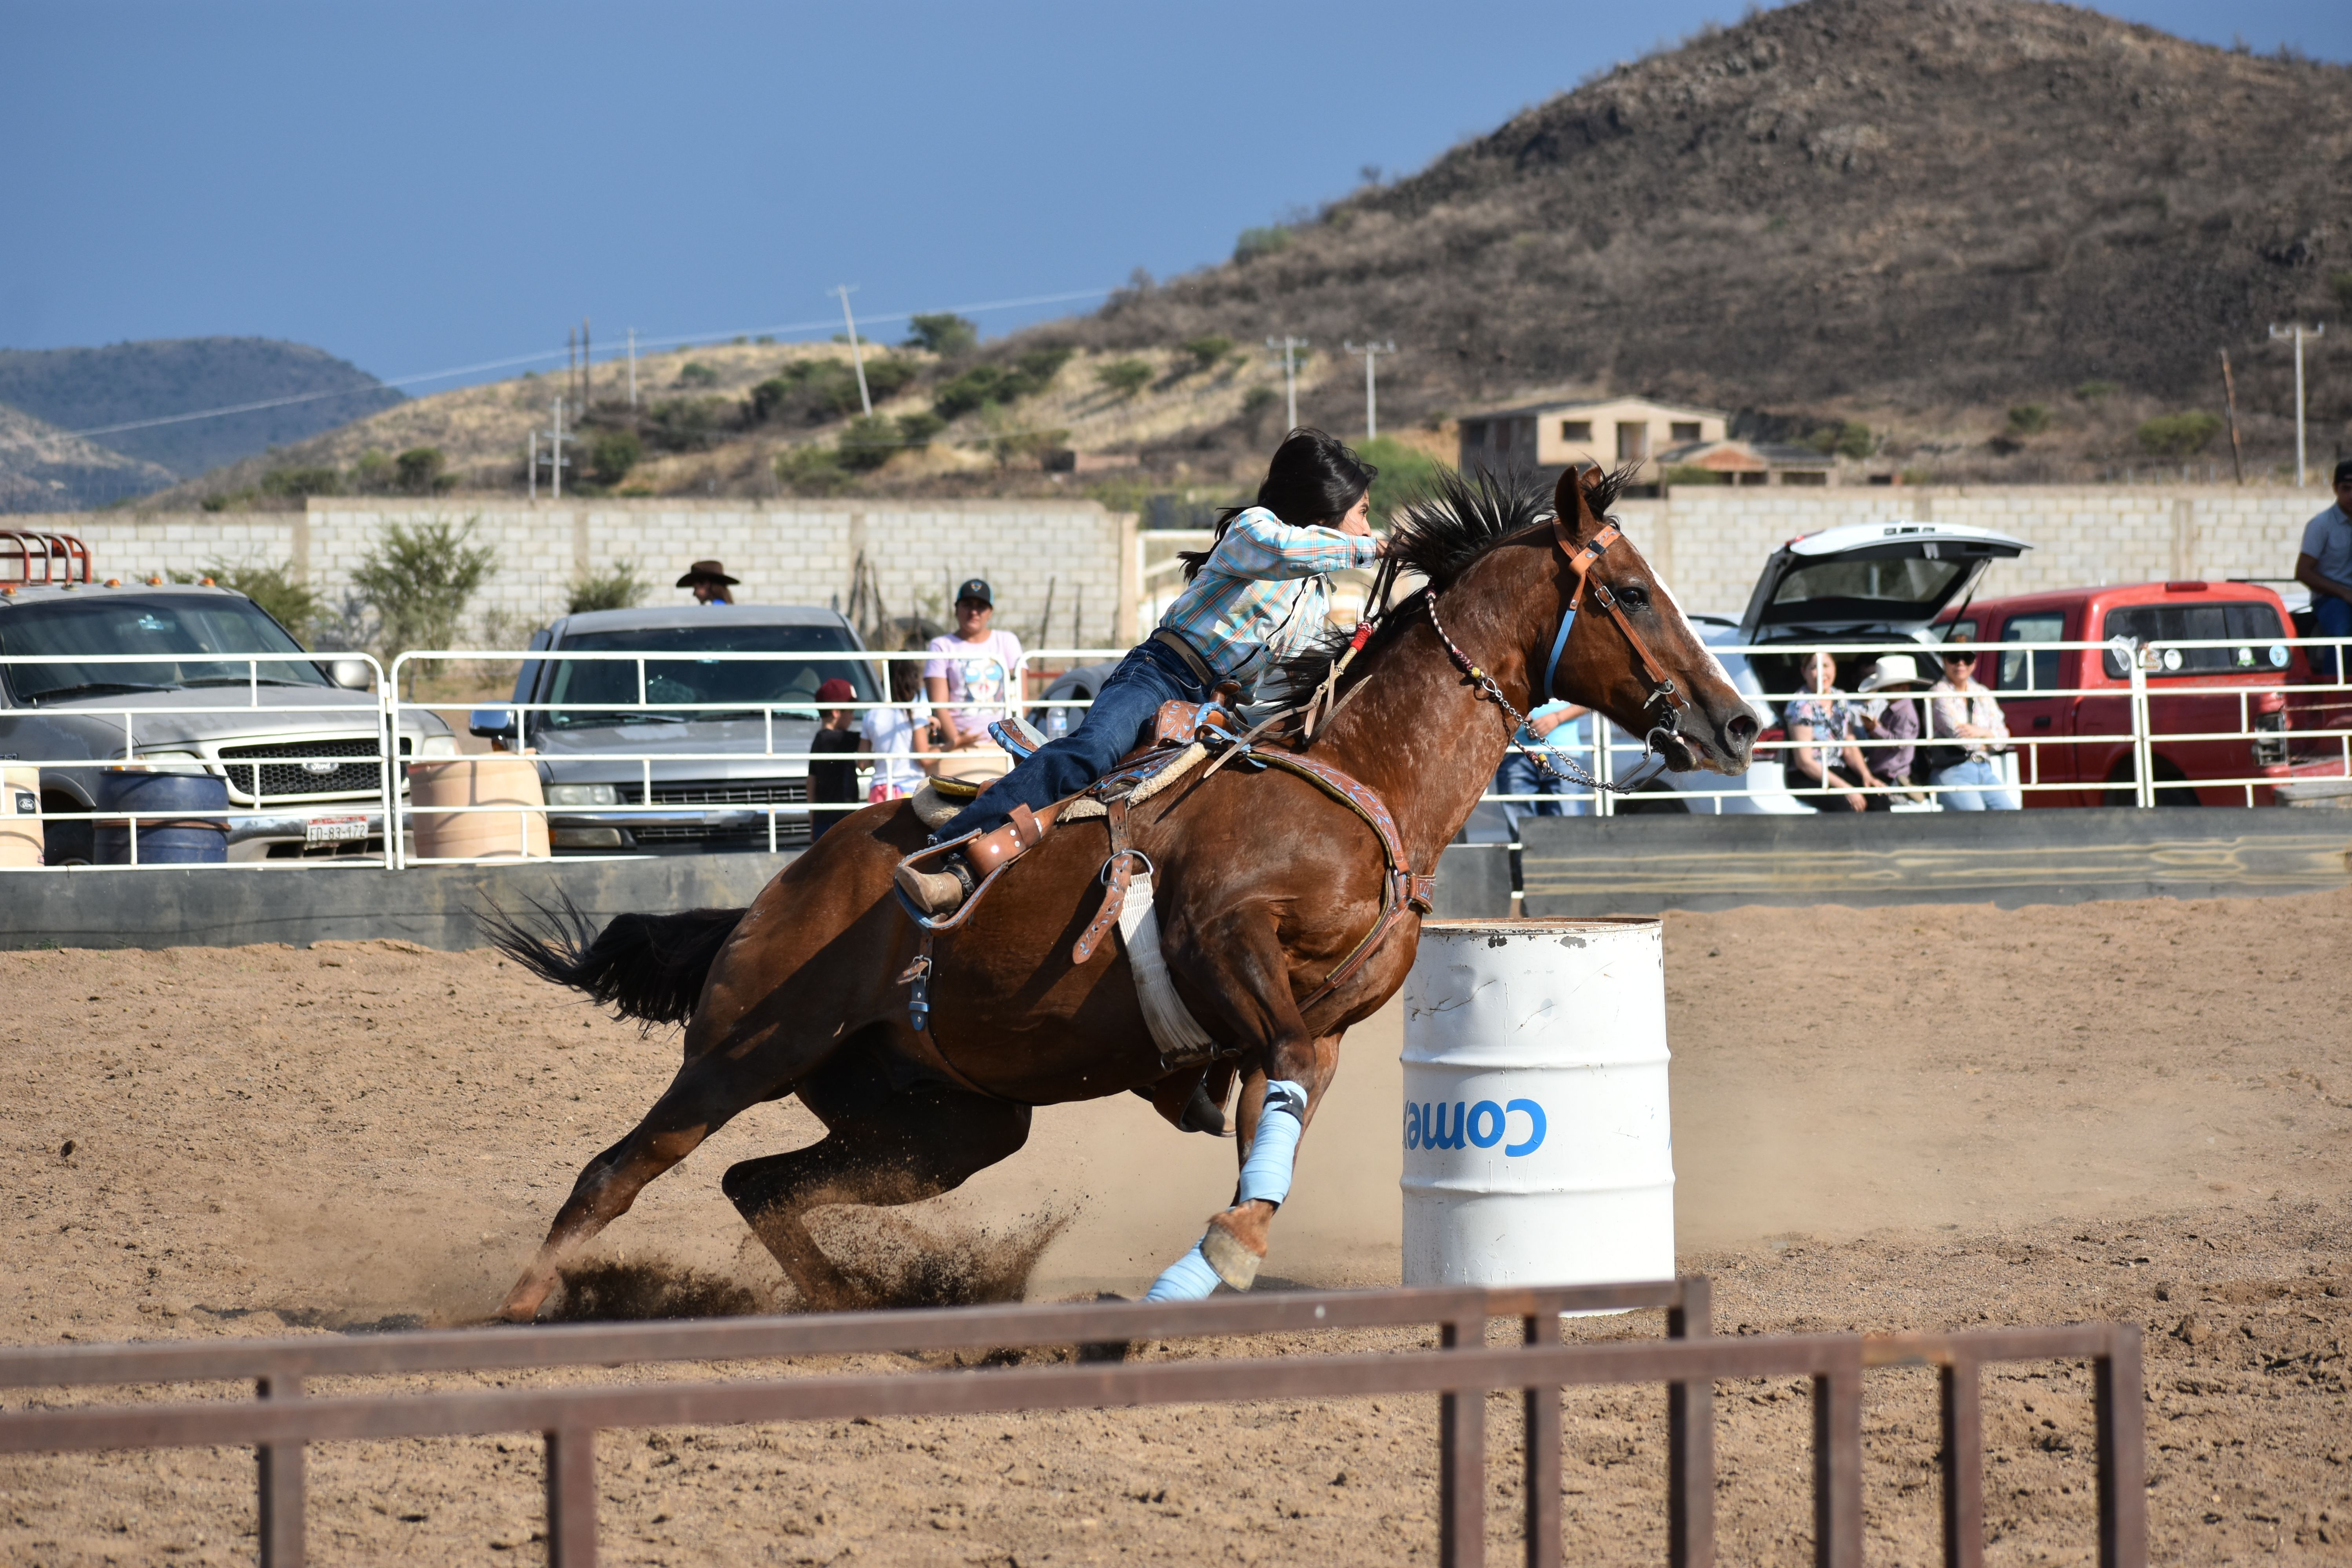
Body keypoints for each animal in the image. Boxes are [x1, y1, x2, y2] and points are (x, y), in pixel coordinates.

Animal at [488, 464, 1757, 1320]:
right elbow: (1277, 1079)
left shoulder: (1322, 1020)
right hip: (747, 1048)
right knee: (617, 1173)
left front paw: (1220, 1250)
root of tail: (766, 898)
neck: (1362, 779)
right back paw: (524, 1304)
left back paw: (854, 1303)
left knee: (760, 1184)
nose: (1736, 721)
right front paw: (1222, 1252)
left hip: (943, 1124)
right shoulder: (1224, 942)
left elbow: (1276, 1109)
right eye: (1631, 593)